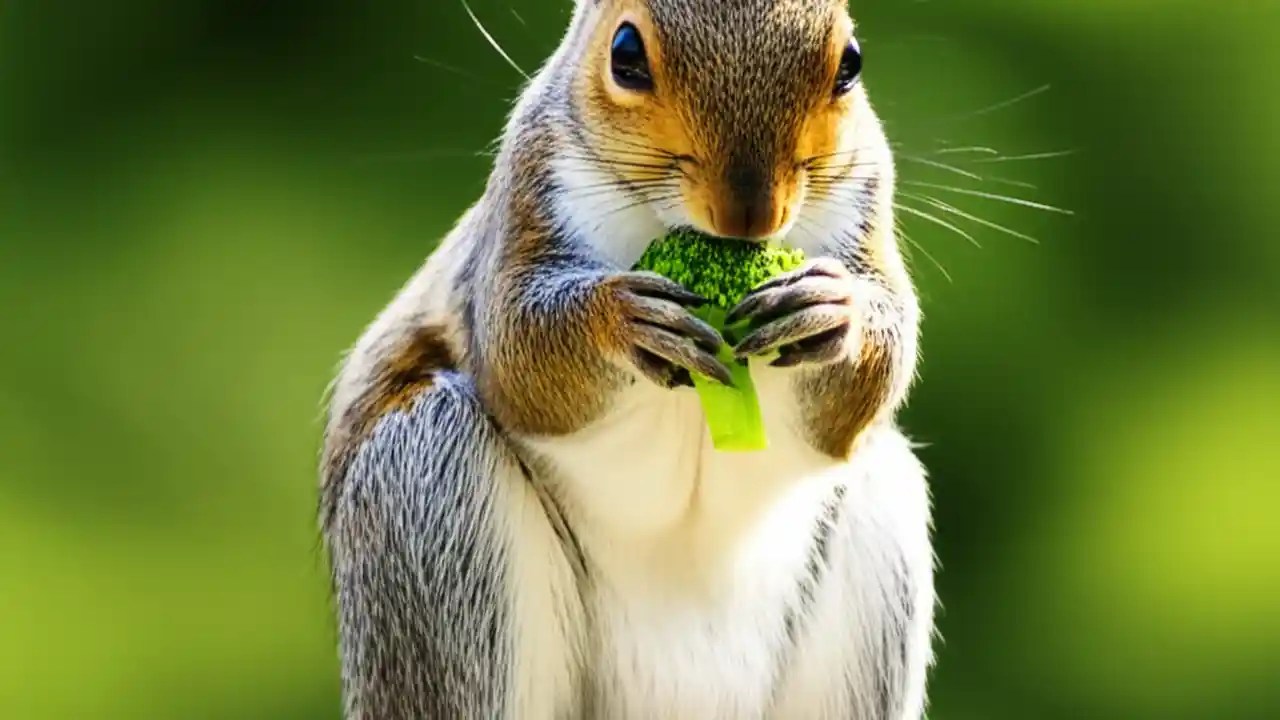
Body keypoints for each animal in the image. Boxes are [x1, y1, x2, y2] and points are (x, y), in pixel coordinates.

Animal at [320, 1, 935, 718]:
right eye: (625, 55)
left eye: (851, 64)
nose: (751, 214)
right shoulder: (525, 201)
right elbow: (516, 355)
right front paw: (621, 318)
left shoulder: (866, 201)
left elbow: (870, 382)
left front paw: (837, 310)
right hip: (423, 495)